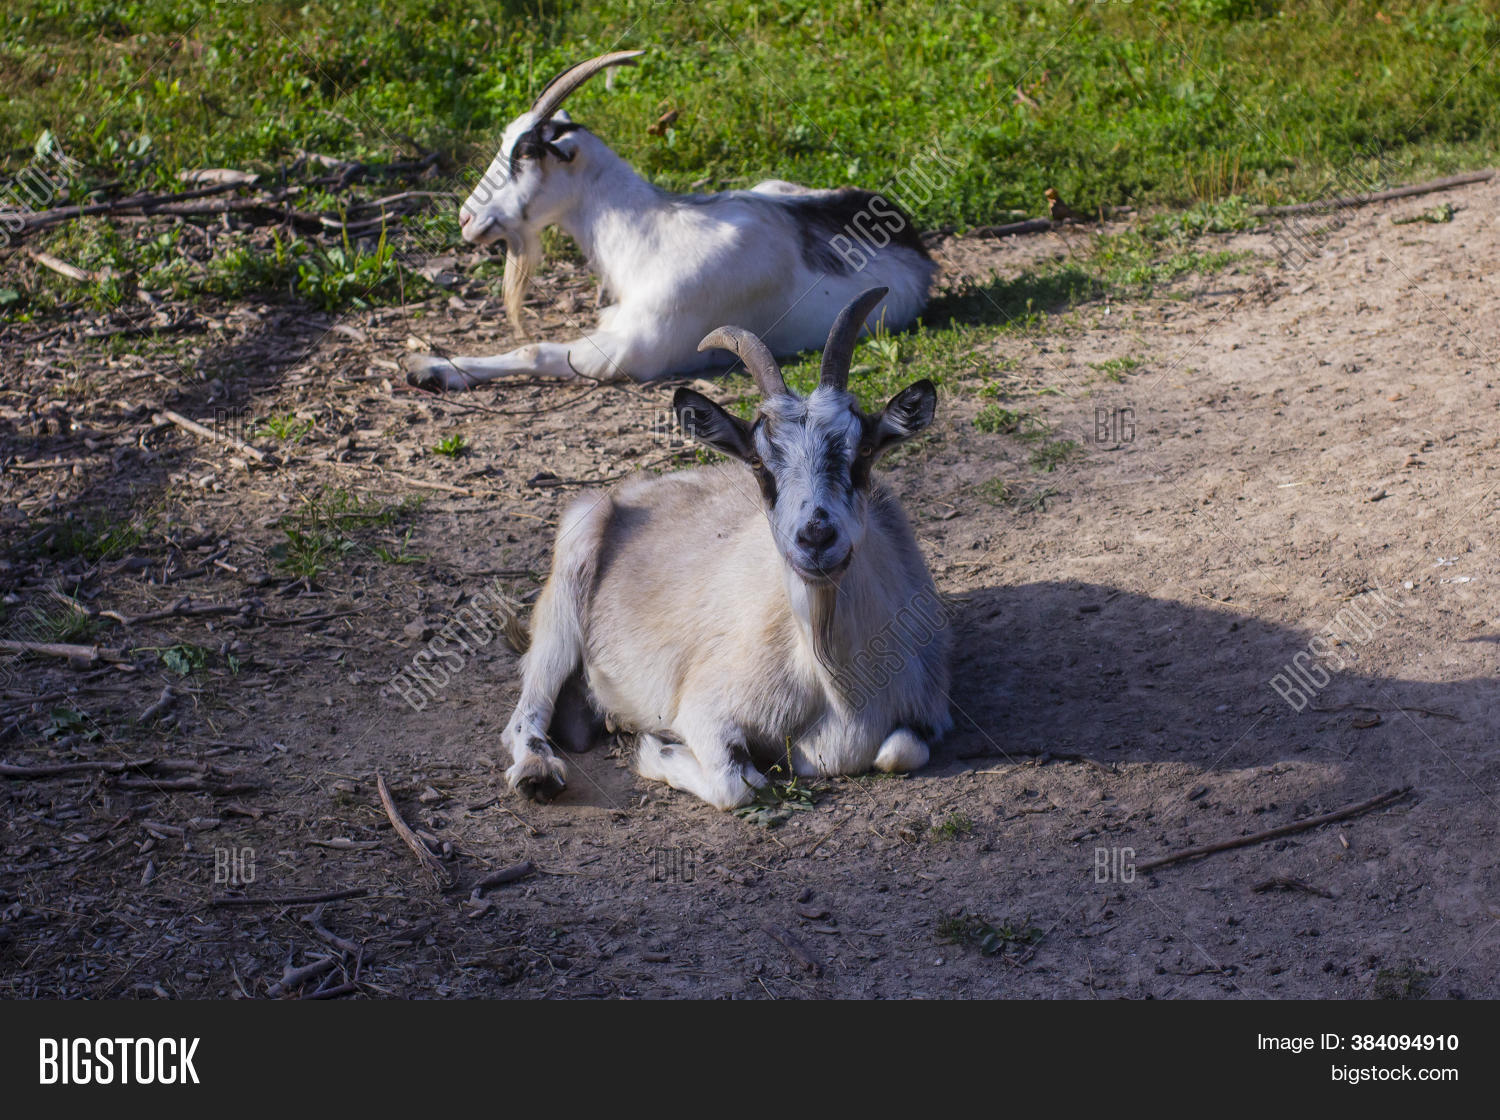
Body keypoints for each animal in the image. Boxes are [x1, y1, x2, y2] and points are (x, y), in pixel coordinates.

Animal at [404, 52, 936, 392]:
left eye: (528, 153)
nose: (467, 217)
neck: (650, 236)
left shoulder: (630, 353)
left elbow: (533, 351)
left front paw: (429, 369)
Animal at [501, 287, 952, 809]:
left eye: (862, 453)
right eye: (758, 463)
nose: (816, 537)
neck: (835, 682)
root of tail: (637, 490)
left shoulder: (926, 712)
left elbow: (900, 751)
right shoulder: (705, 707)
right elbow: (738, 783)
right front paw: (658, 750)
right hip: (566, 587)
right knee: (527, 707)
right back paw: (536, 771)